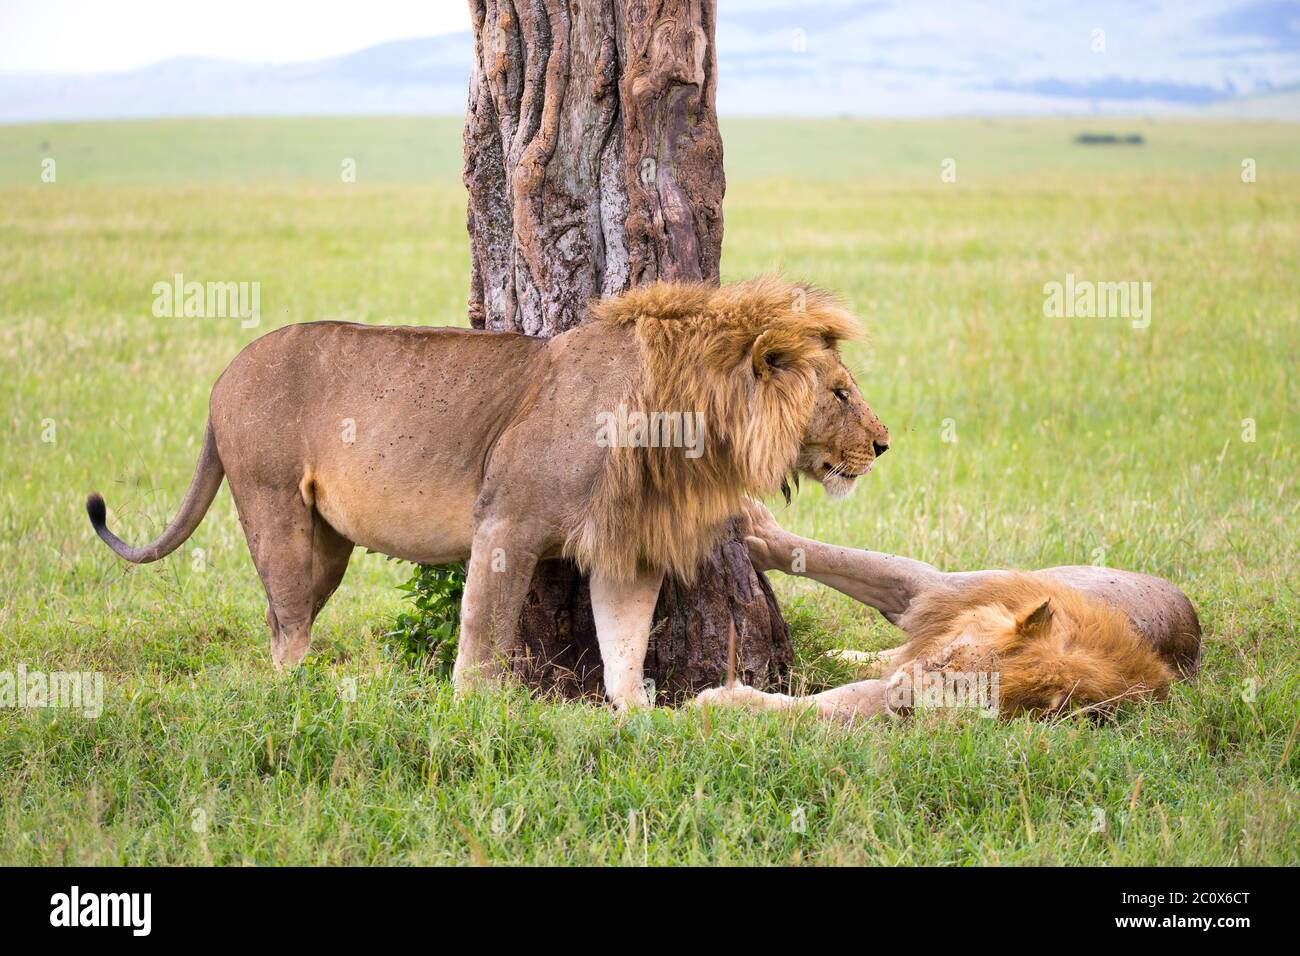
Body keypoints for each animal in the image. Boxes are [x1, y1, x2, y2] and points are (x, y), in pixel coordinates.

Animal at [86, 279, 890, 709]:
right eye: (840, 393)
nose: (883, 444)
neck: (686, 420)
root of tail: (222, 376)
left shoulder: (625, 546)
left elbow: (624, 642)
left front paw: (639, 716)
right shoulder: (507, 520)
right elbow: (484, 629)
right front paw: (471, 710)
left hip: (327, 545)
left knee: (283, 614)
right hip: (272, 502)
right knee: (286, 625)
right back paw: (298, 698)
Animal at [696, 499, 1200, 720]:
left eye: (973, 700)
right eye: (947, 661)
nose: (902, 702)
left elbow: (821, 707)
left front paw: (723, 702)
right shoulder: (932, 590)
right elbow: (847, 558)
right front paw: (755, 525)